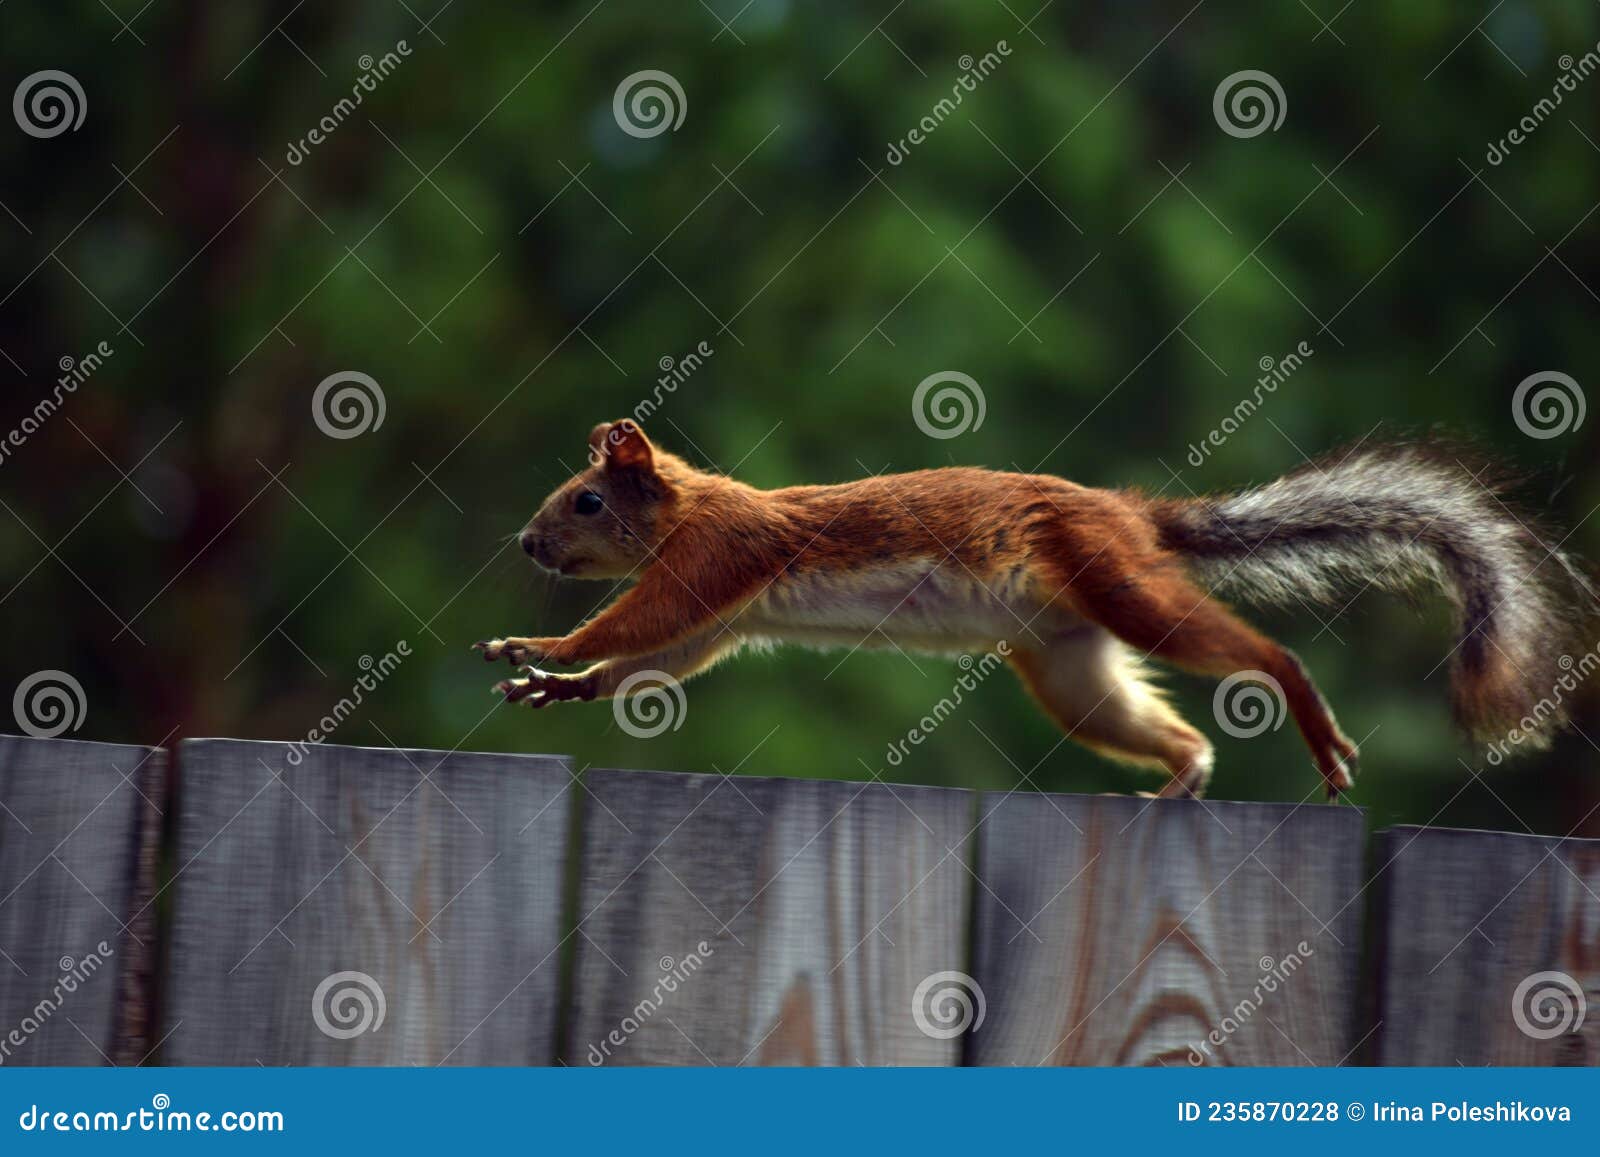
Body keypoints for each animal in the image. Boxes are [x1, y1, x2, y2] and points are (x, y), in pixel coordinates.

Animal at [475, 418, 1596, 800]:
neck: (692, 502)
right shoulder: (719, 614)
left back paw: (1313, 729)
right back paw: (1182, 776)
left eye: (585, 500)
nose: (526, 543)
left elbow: (632, 624)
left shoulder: (710, 560)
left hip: (1123, 591)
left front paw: (538, 641)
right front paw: (560, 683)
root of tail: (1134, 515)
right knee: (1160, 723)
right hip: (1068, 665)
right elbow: (651, 662)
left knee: (1264, 655)